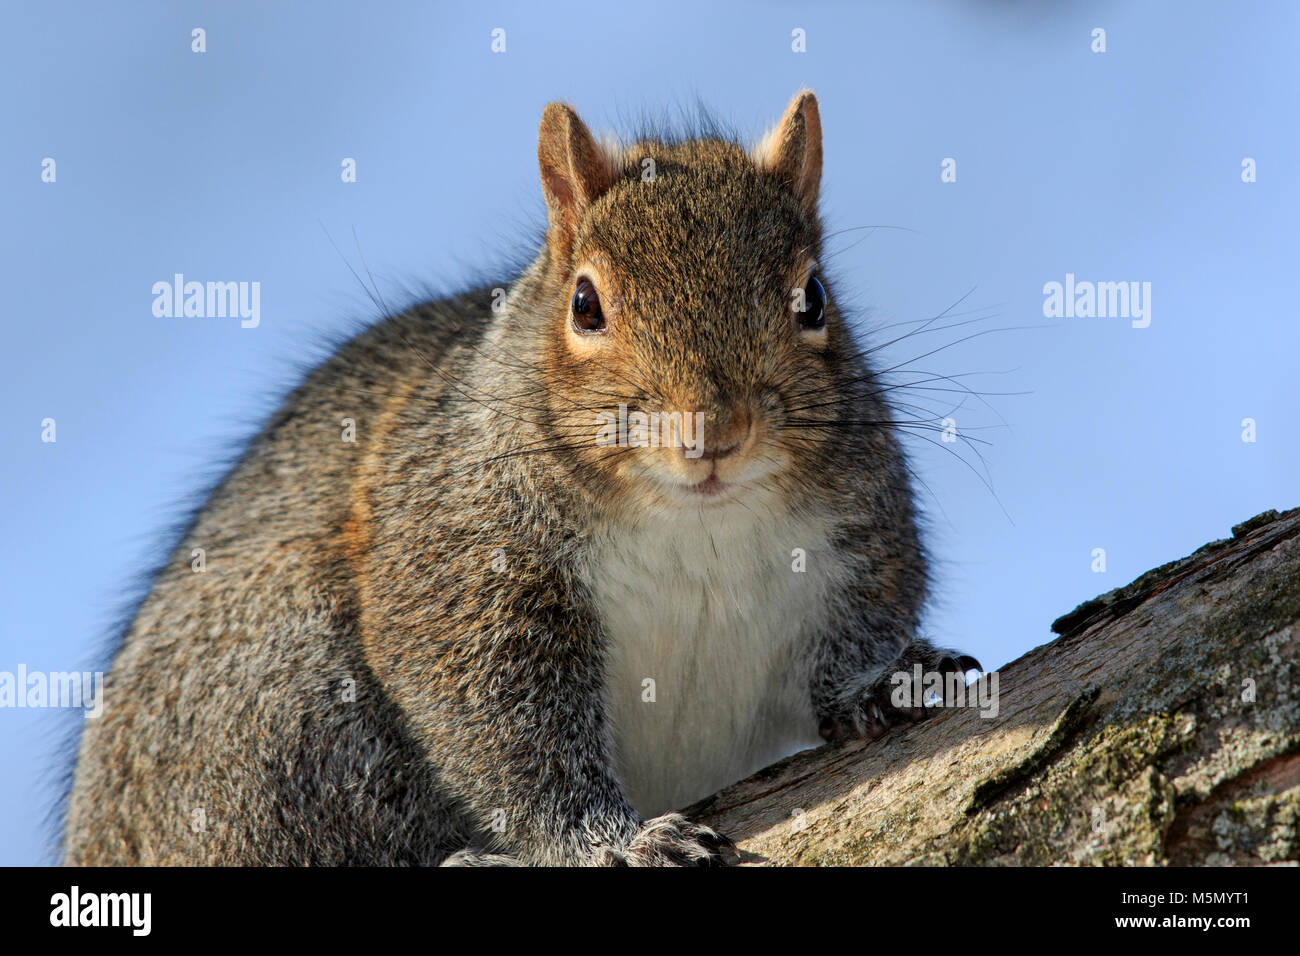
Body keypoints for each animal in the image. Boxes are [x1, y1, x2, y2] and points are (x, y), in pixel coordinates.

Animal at [63, 90, 978, 866]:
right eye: (584, 304)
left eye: (813, 298)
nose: (712, 433)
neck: (695, 524)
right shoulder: (467, 574)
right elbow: (508, 738)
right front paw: (610, 843)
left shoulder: (859, 535)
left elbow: (853, 633)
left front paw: (884, 678)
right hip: (273, 704)